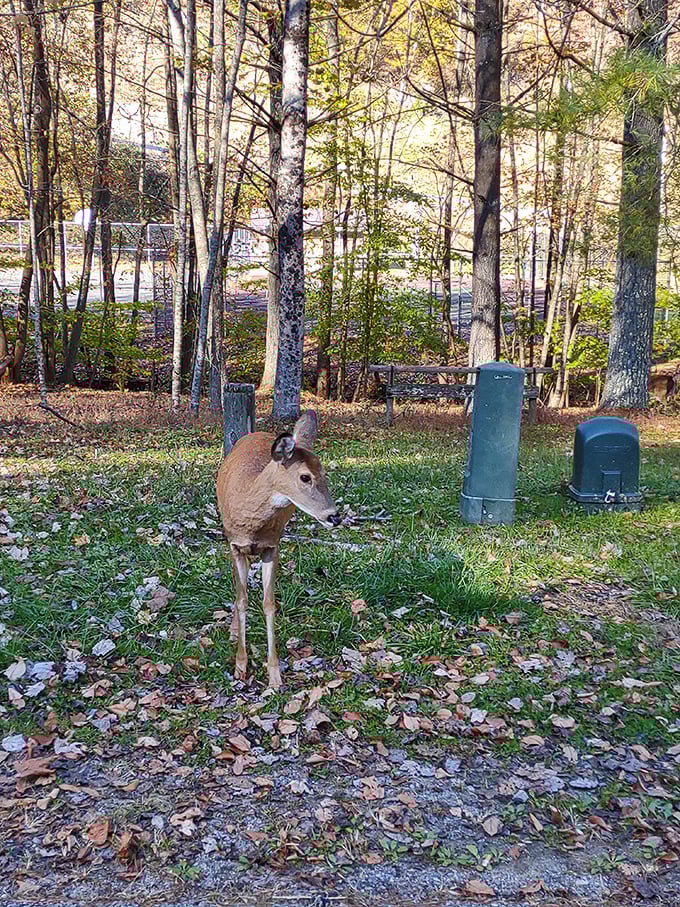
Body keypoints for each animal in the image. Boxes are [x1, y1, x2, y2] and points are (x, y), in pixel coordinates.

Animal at [216, 410, 341, 690]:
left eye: (325, 472)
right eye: (305, 477)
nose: (334, 517)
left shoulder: (272, 546)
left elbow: (269, 604)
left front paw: (274, 676)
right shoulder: (234, 545)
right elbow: (242, 600)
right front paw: (240, 666)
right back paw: (233, 631)